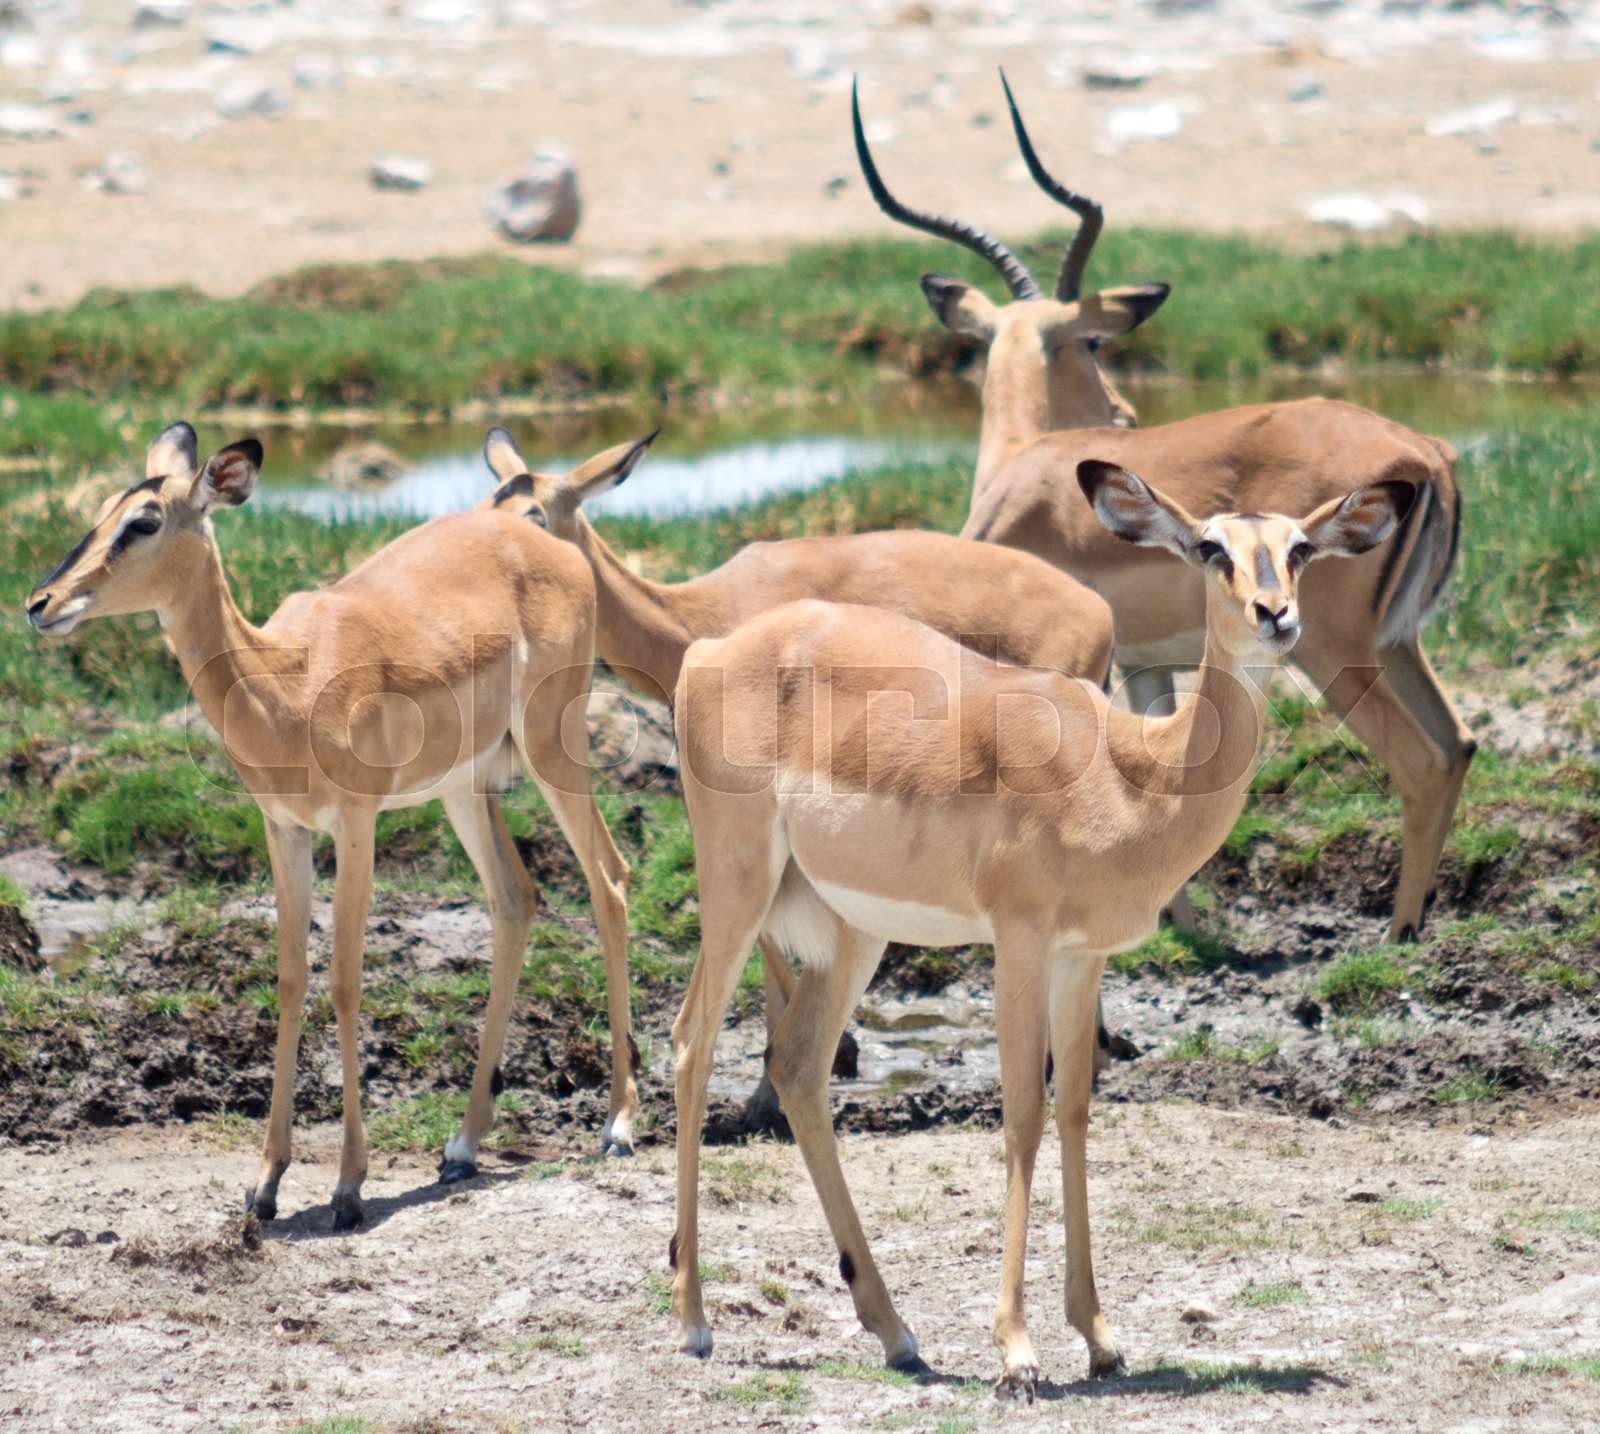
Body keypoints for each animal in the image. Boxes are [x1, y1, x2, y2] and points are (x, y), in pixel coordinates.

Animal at [26, 424, 639, 1230]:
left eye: (145, 521)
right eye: (102, 511)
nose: (40, 602)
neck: (286, 680)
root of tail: (550, 544)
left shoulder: (356, 824)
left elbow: (346, 978)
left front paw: (348, 1185)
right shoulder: (283, 829)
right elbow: (291, 978)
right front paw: (265, 1184)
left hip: (551, 750)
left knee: (609, 880)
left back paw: (619, 1126)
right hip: (465, 787)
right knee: (516, 899)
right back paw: (461, 1147)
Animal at [665, 463, 1412, 1394]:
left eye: (1299, 547)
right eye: (1211, 548)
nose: (1275, 614)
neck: (1131, 773)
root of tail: (706, 657)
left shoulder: (1082, 958)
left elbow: (1077, 1109)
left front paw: (1099, 1335)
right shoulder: (1018, 941)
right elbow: (1021, 1111)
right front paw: (1017, 1349)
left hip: (854, 932)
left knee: (799, 1069)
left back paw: (898, 1335)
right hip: (737, 888)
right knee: (692, 1042)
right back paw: (694, 1321)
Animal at [863, 72, 1476, 942]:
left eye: (1093, 339)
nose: (1121, 412)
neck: (1021, 468)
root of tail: (1426, 450)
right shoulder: (1146, 664)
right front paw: (1182, 928)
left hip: (1333, 653)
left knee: (1420, 761)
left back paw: (1400, 934)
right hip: (1396, 644)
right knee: (1458, 744)